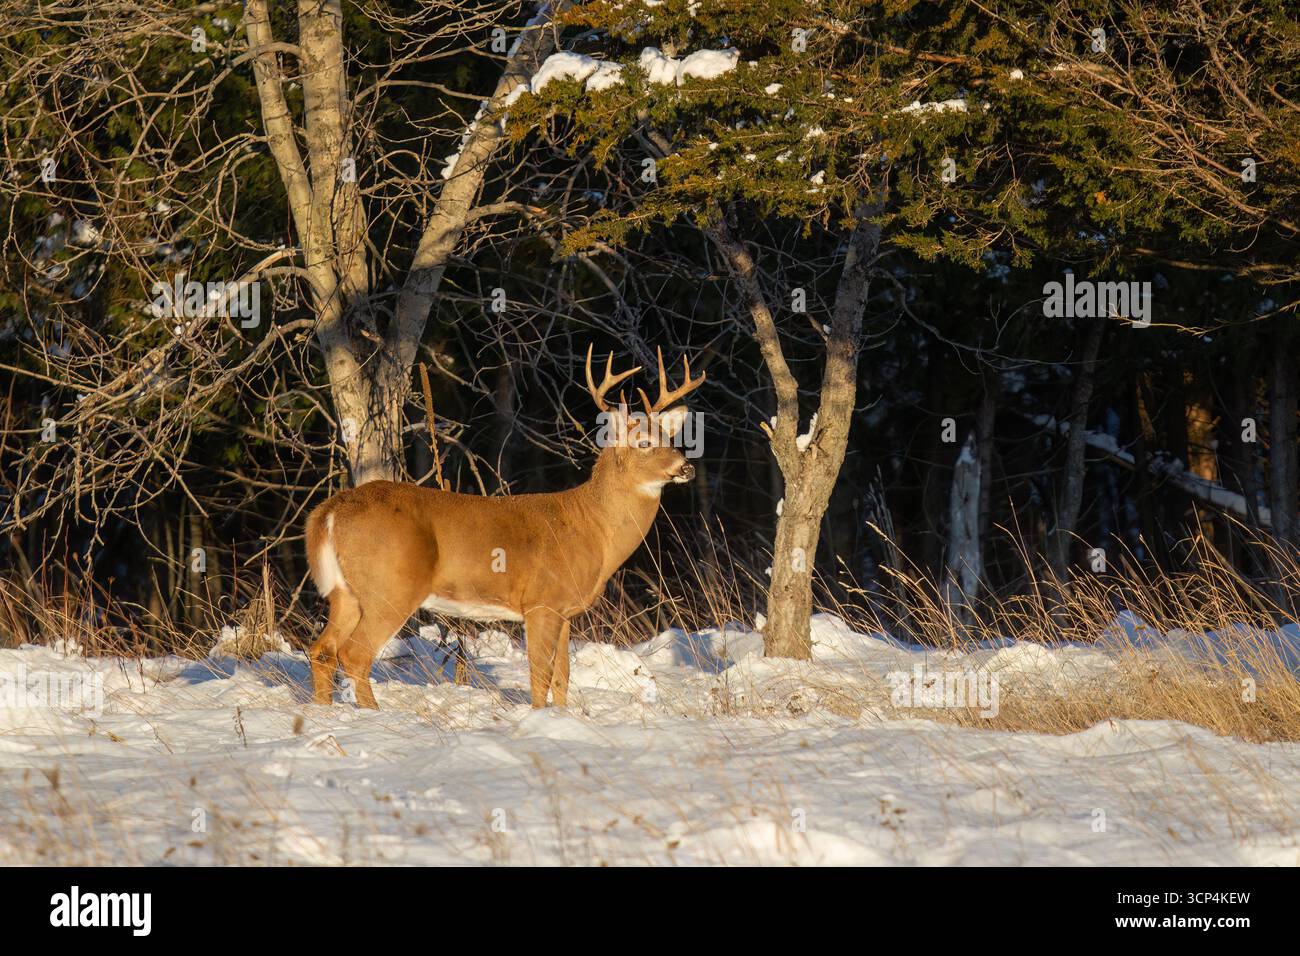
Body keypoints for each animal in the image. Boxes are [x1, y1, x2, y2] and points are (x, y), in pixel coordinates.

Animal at [303, 346, 705, 709]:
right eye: (644, 443)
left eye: (672, 439)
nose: (687, 467)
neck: (594, 527)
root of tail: (332, 508)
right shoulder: (542, 601)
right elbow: (540, 674)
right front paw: (541, 719)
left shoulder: (564, 611)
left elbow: (562, 676)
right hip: (391, 586)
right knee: (354, 654)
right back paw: (373, 714)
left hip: (346, 592)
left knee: (322, 649)